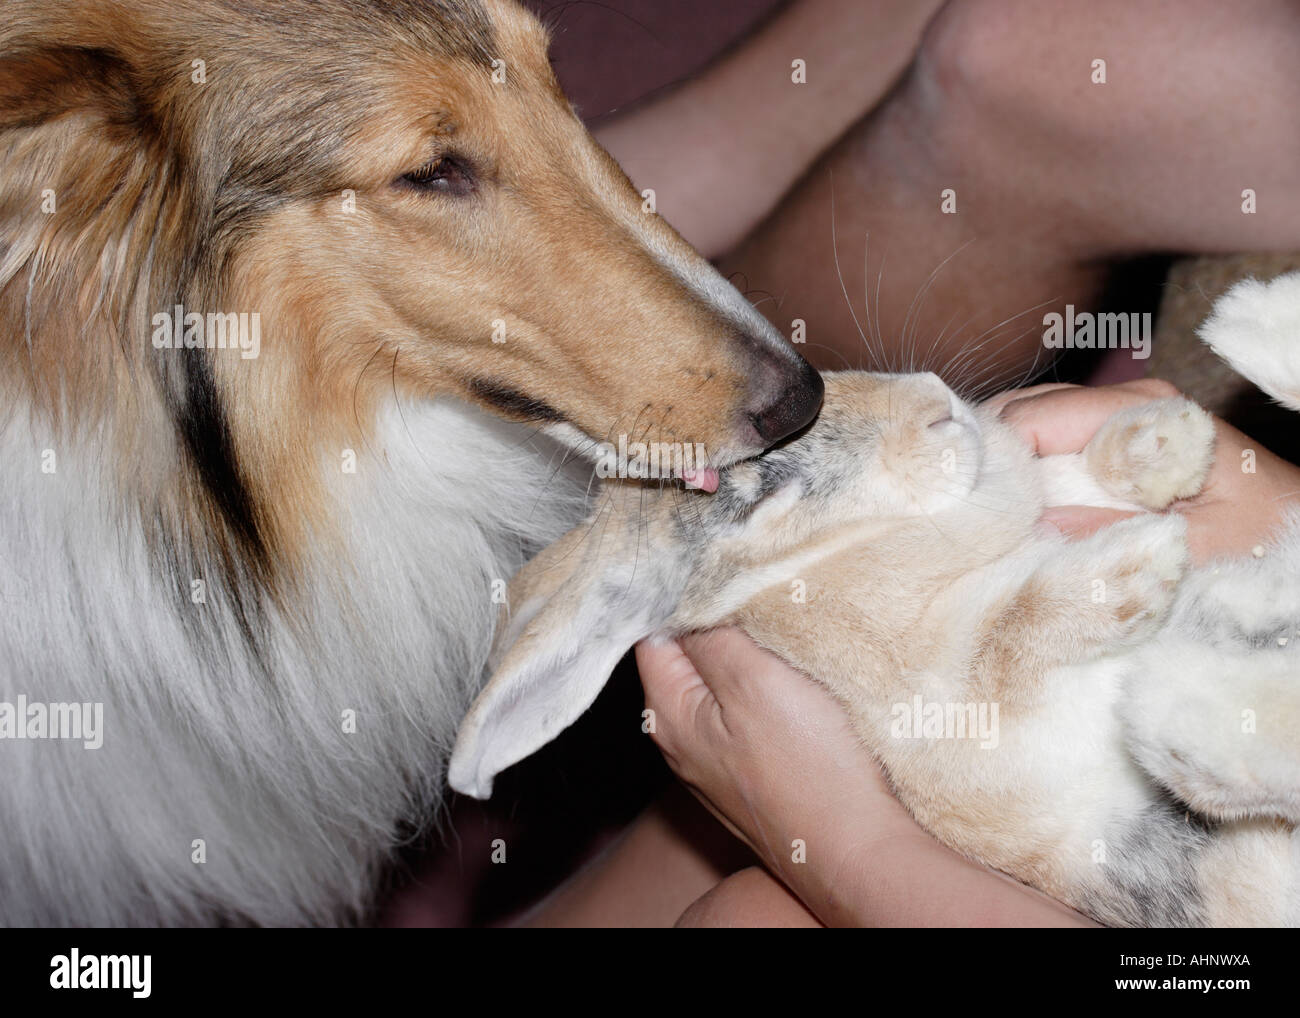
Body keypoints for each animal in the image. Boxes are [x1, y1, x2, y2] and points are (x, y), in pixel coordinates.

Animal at [450, 272, 1300, 927]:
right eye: (762, 495)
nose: (937, 407)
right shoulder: (957, 744)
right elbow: (1005, 640)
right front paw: (1137, 564)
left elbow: (1072, 479)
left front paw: (1167, 439)